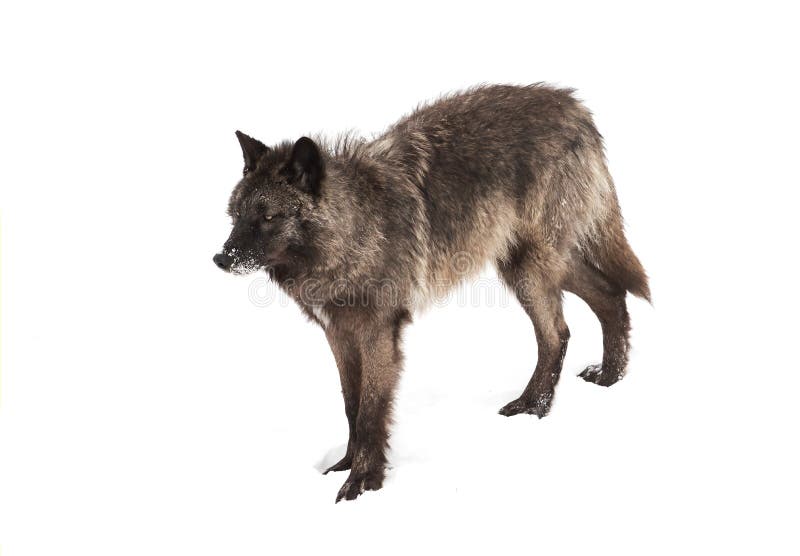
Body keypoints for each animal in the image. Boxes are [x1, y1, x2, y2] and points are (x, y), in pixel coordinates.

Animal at [213, 84, 650, 502]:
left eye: (268, 217)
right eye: (236, 215)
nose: (220, 258)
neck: (355, 229)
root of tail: (574, 106)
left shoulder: (378, 335)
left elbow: (370, 412)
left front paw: (363, 483)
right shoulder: (339, 335)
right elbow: (351, 406)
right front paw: (345, 465)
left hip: (531, 268)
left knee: (558, 332)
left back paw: (535, 407)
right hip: (525, 264)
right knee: (609, 295)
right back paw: (608, 377)